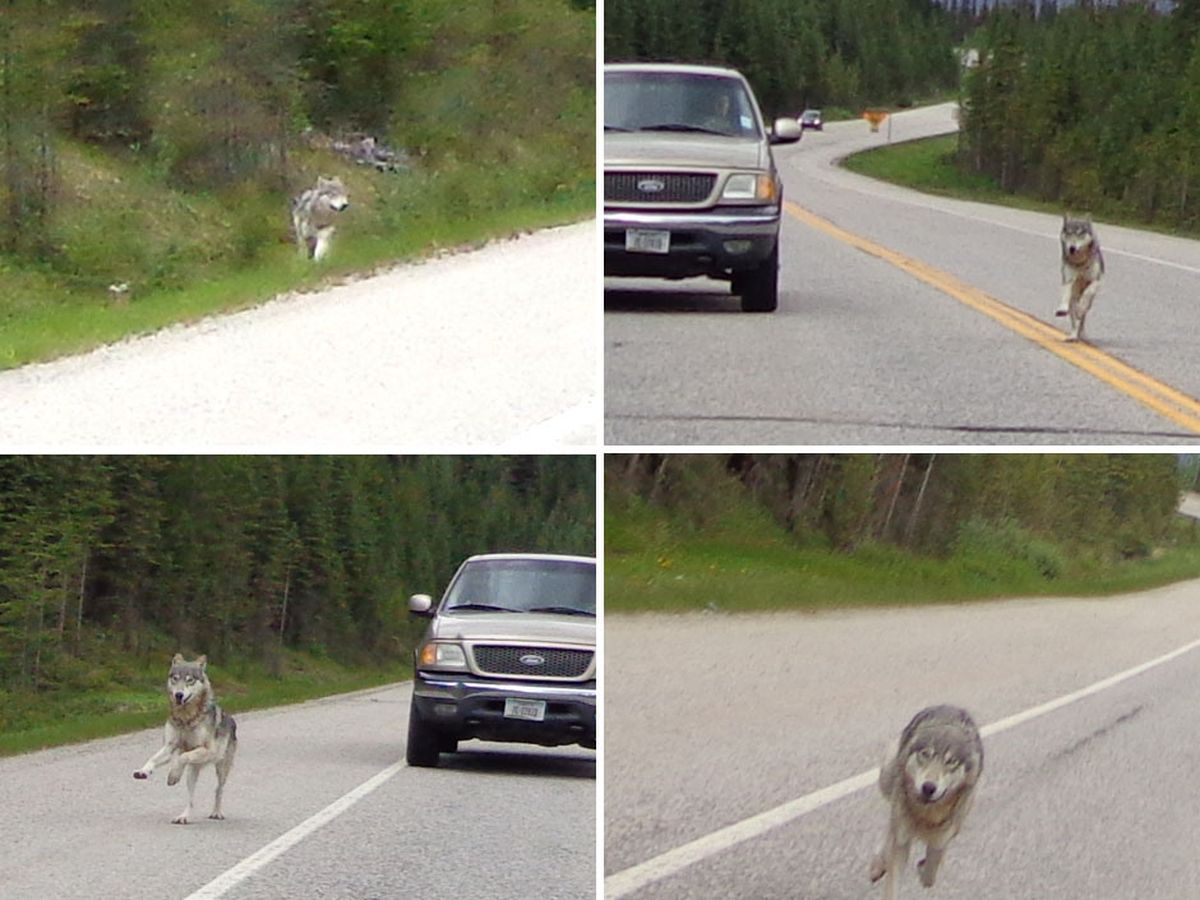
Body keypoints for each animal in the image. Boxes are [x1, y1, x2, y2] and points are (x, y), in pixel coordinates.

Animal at [133, 653, 237, 825]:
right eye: (175, 679)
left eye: (190, 680)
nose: (179, 695)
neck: (185, 718)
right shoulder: (169, 747)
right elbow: (153, 759)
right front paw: (143, 771)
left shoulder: (207, 750)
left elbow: (182, 757)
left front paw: (173, 775)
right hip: (192, 773)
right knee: (191, 799)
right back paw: (183, 817)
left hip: (221, 769)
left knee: (218, 790)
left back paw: (216, 812)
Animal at [869, 705, 983, 900]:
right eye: (925, 754)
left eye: (951, 761)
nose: (928, 787)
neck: (925, 813)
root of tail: (952, 706)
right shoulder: (901, 839)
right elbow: (892, 884)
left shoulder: (941, 838)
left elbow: (931, 872)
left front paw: (923, 867)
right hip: (887, 777)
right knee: (889, 827)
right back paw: (878, 864)